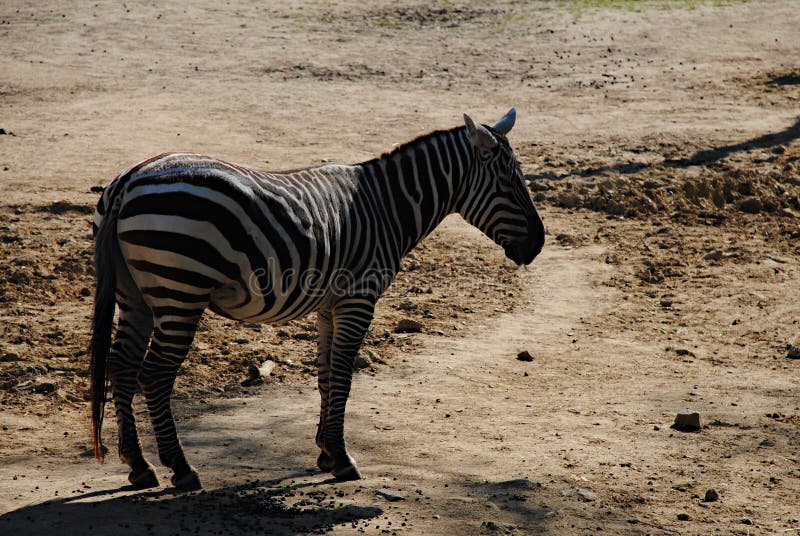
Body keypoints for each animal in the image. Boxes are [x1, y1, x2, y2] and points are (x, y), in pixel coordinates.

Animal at [89, 108, 545, 491]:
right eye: (509, 182)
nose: (539, 244)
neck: (388, 205)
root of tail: (130, 179)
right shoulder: (358, 299)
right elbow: (343, 375)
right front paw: (342, 459)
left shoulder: (330, 304)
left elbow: (326, 374)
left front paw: (326, 451)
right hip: (180, 291)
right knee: (154, 374)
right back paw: (181, 469)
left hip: (136, 294)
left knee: (122, 366)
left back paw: (139, 465)